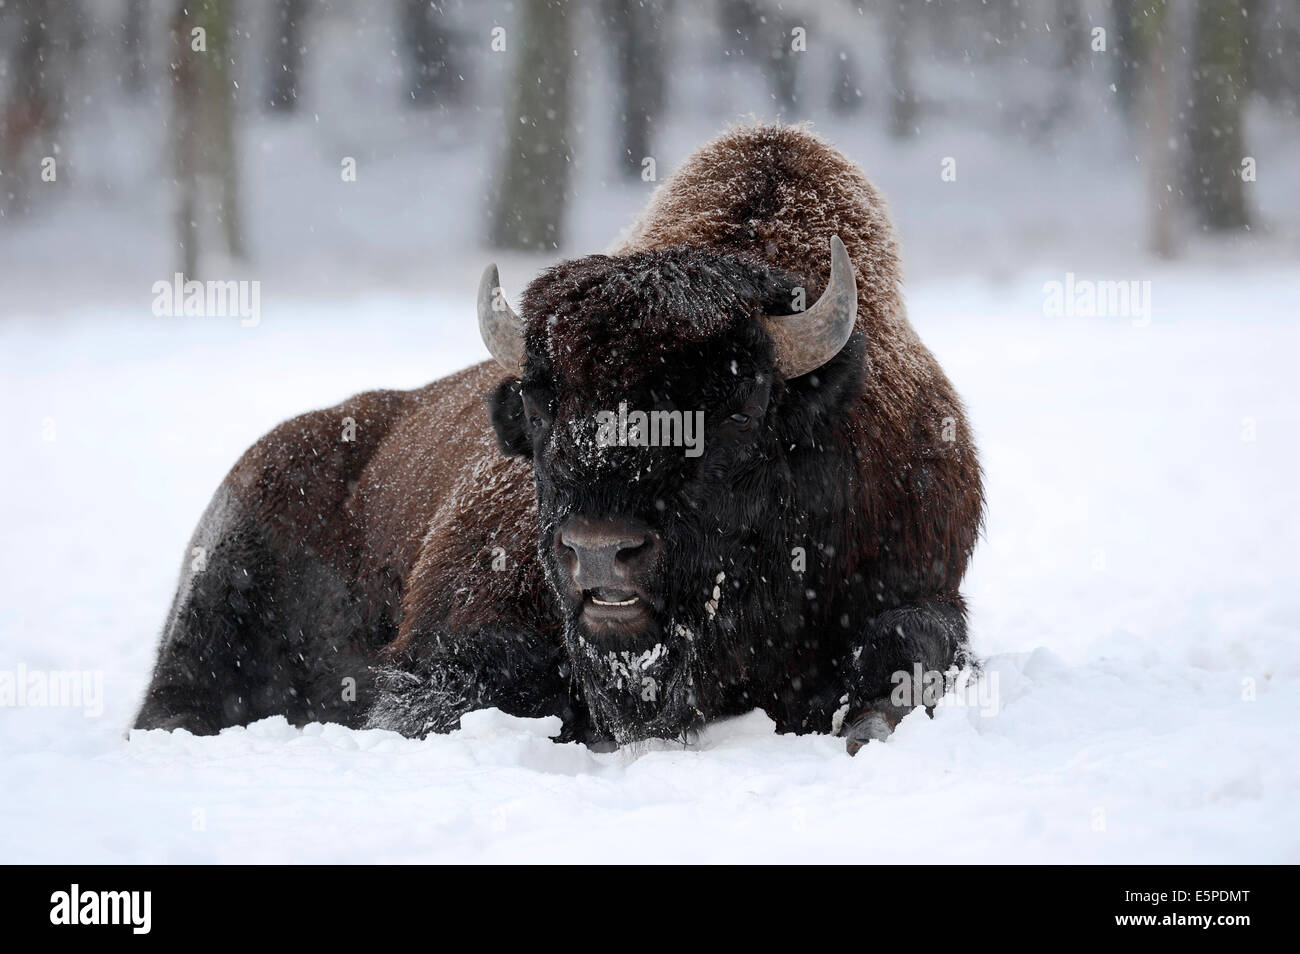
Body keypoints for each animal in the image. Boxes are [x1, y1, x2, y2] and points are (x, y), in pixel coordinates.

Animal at [133, 124, 983, 753]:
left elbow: (912, 649)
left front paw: (864, 725)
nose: (601, 552)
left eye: (739, 407)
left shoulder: (924, 582)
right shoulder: (451, 642)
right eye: (545, 406)